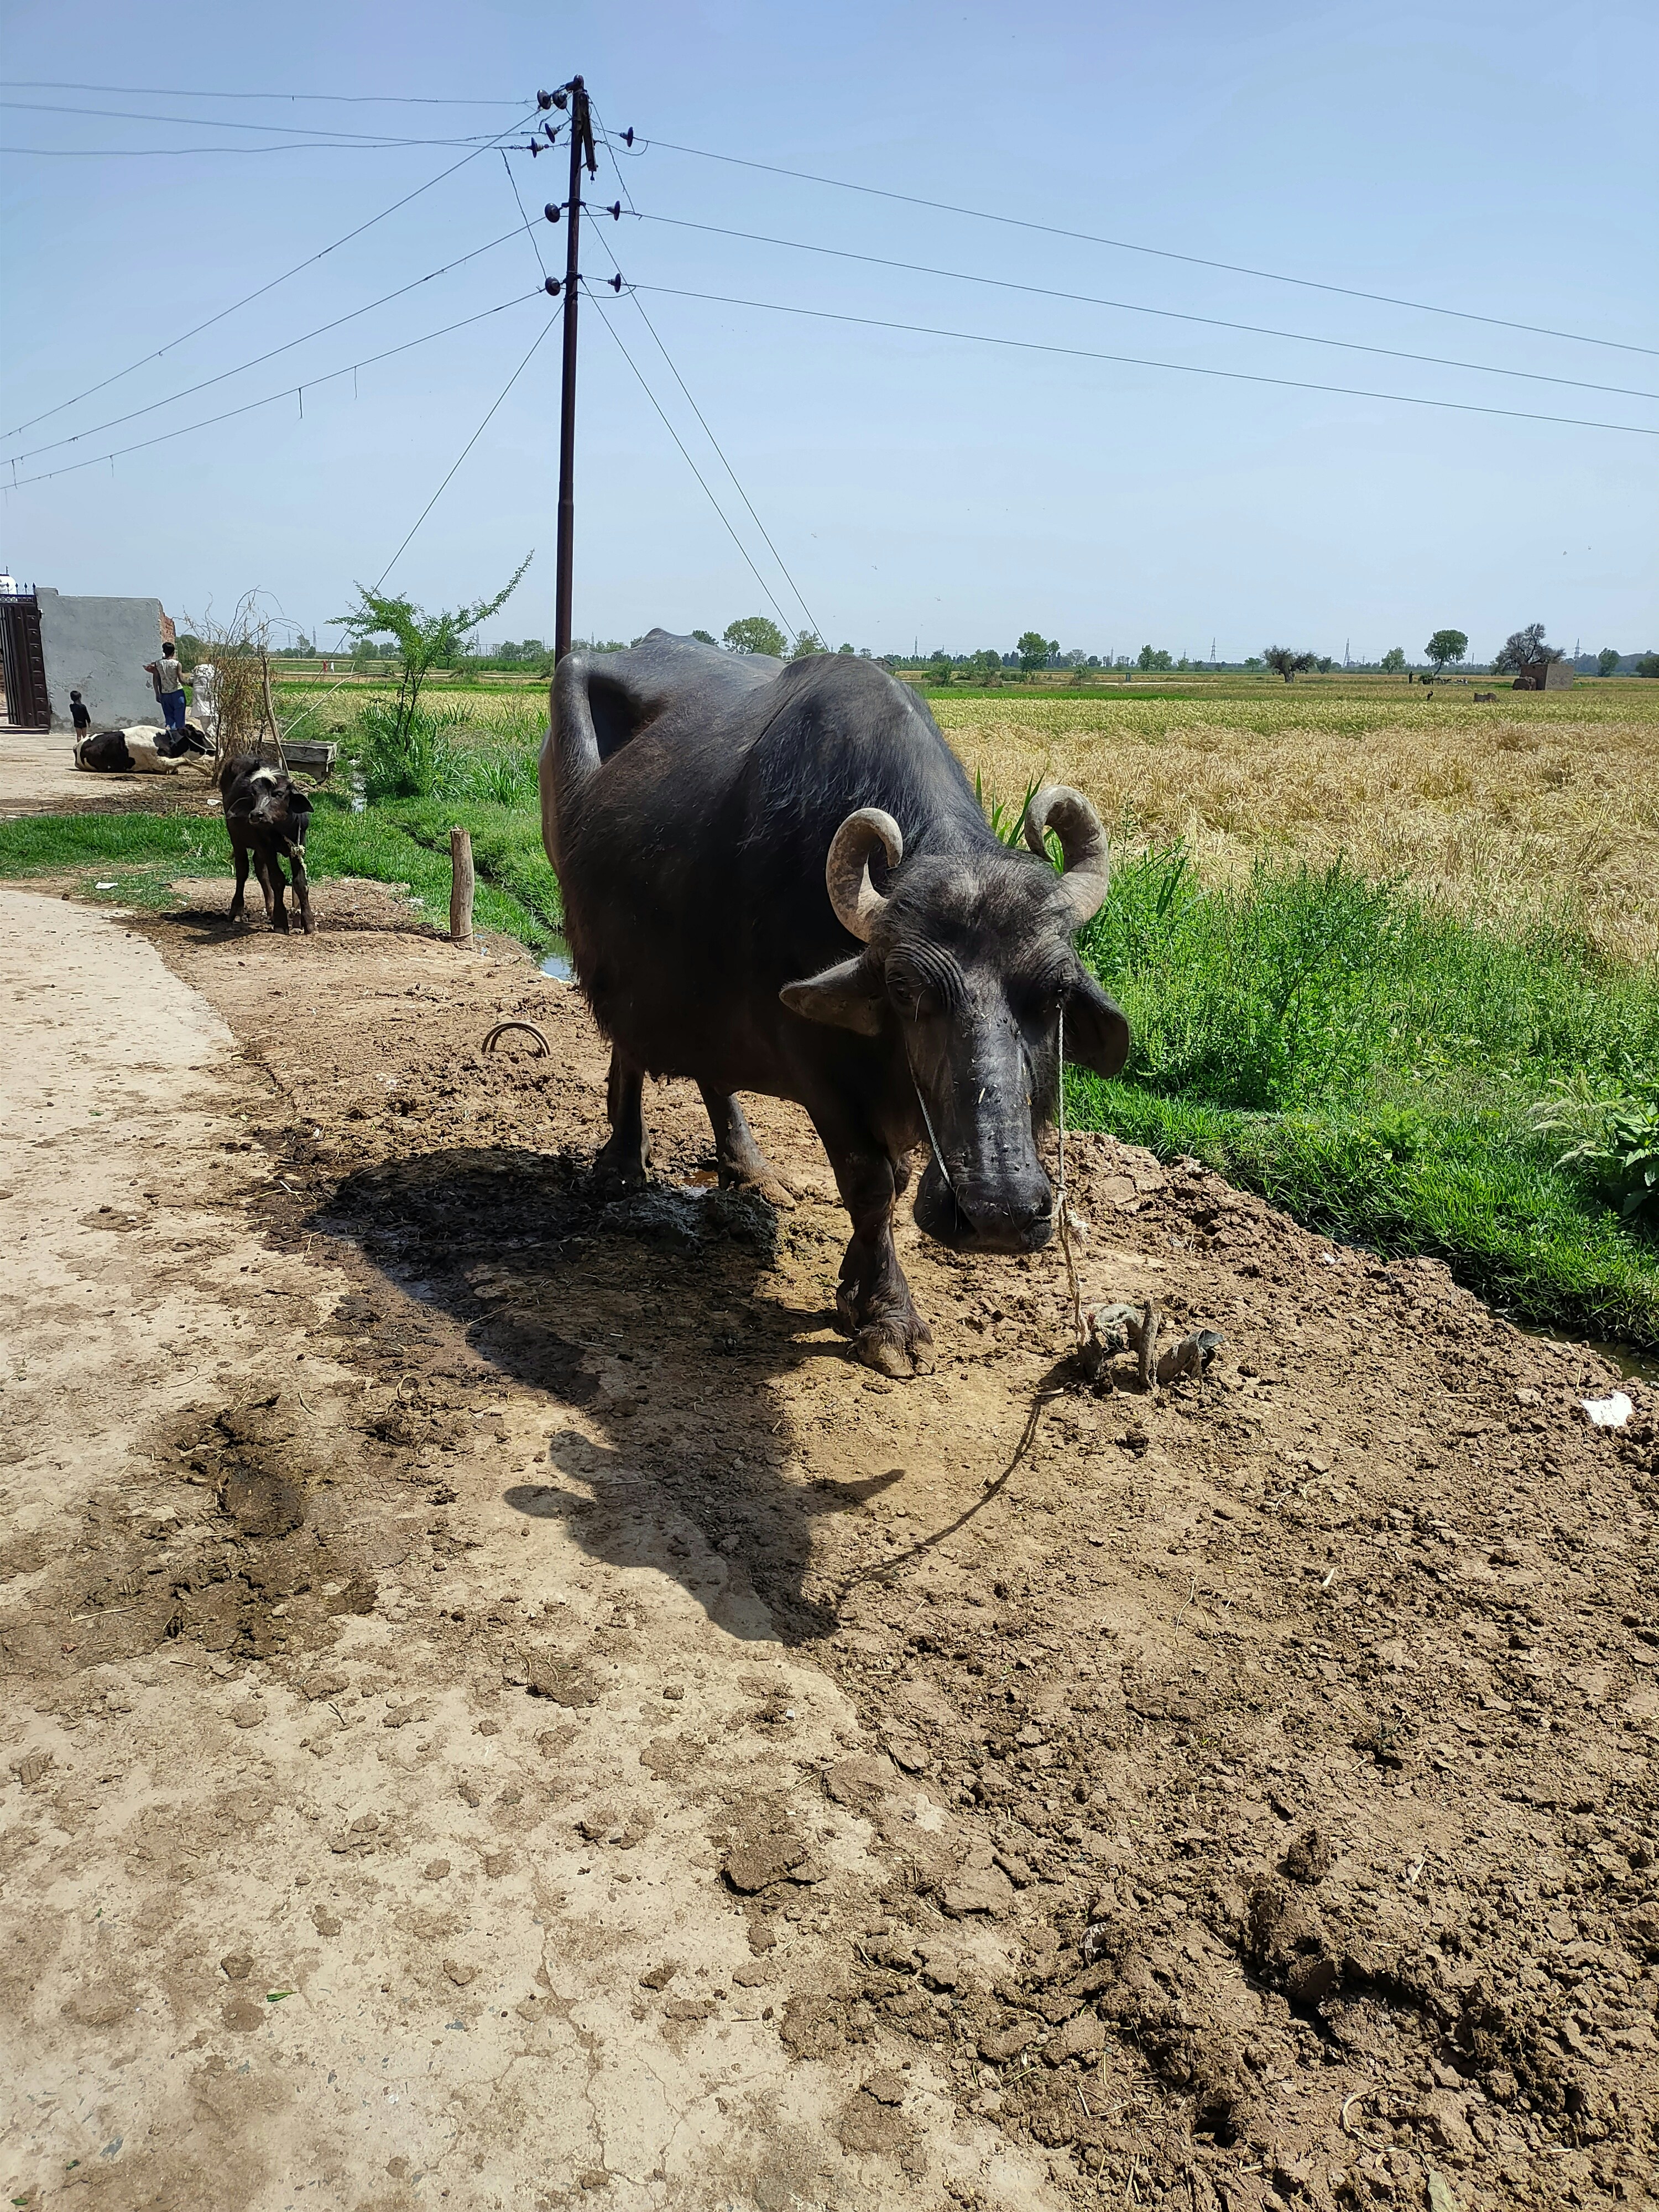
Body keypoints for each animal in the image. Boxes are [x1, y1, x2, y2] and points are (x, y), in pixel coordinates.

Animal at [540, 633, 1128, 1376]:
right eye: (907, 990)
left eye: (1053, 992)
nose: (998, 1213)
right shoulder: (815, 1062)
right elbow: (869, 1182)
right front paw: (888, 1318)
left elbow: (898, 1179)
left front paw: (854, 1289)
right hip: (611, 953)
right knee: (631, 1043)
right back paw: (621, 1165)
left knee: (710, 1066)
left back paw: (751, 1169)